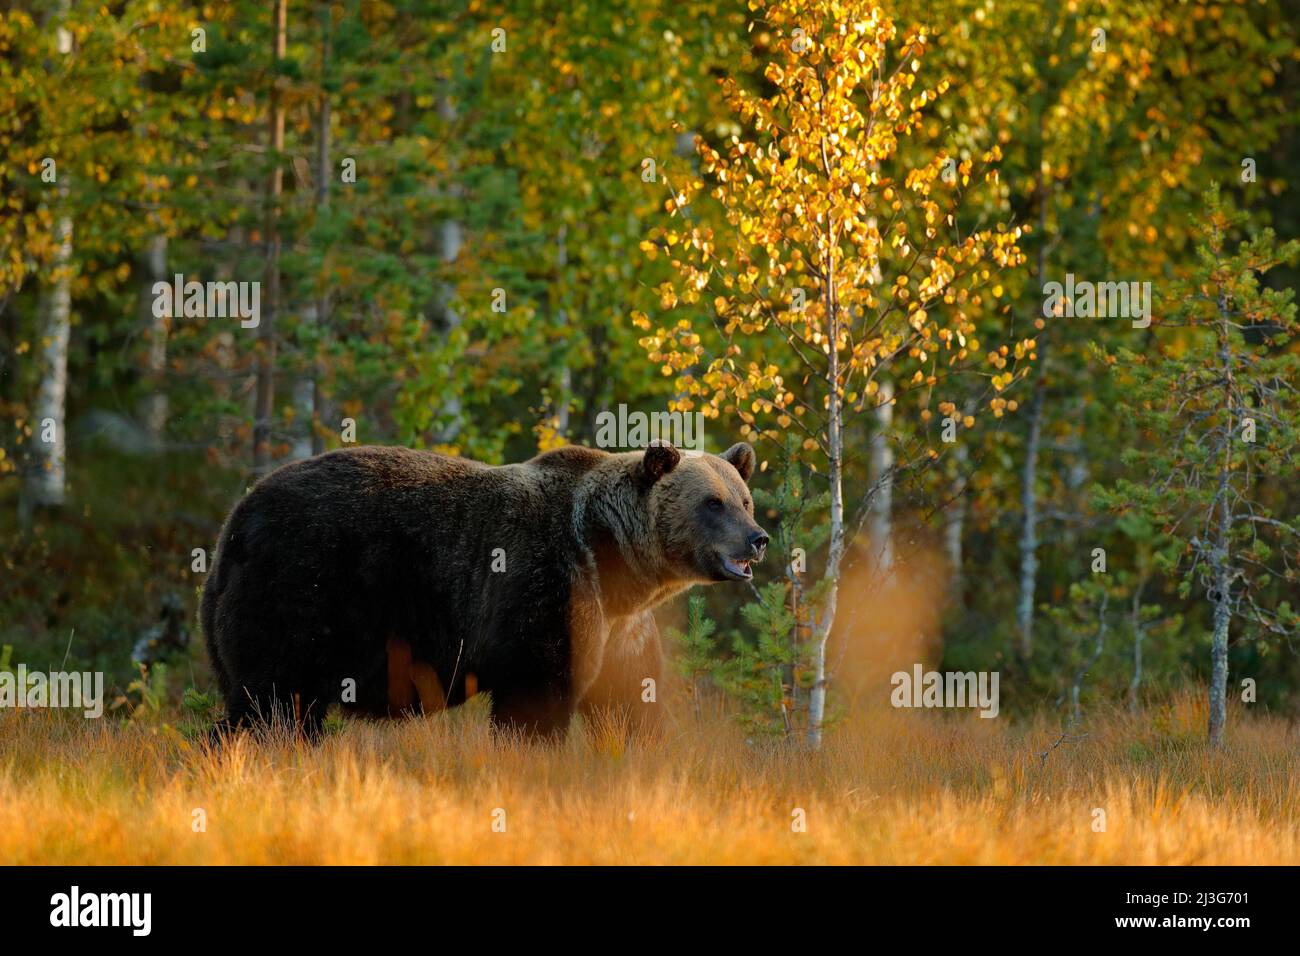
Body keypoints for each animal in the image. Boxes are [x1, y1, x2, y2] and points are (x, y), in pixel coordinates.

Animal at [200, 439, 767, 739]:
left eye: (744, 499)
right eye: (712, 503)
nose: (757, 538)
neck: (613, 567)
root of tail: (234, 522)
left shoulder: (621, 628)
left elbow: (628, 699)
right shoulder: (546, 588)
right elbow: (535, 693)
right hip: (302, 590)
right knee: (275, 702)